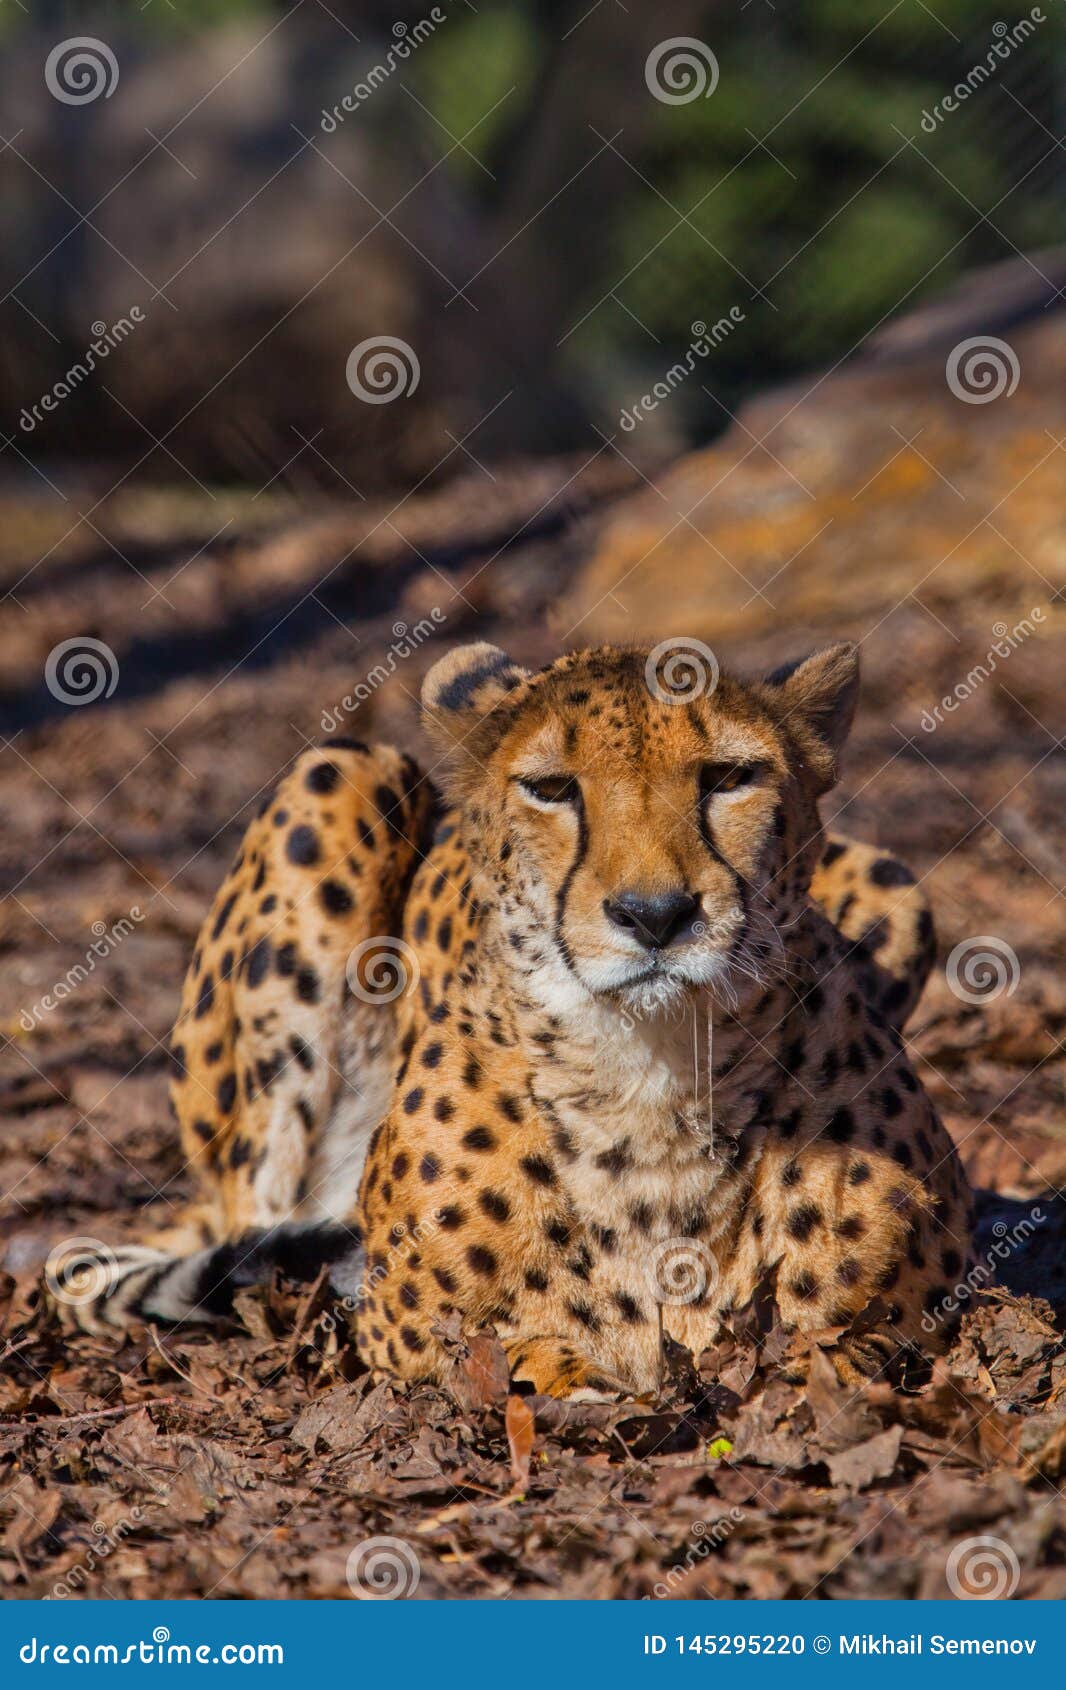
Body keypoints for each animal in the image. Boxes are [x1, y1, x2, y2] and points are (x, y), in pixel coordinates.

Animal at [61, 639, 972, 1397]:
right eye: (553, 789)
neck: (652, 1078)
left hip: (897, 885)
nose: (655, 914)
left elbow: (849, 1344)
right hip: (342, 769)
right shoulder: (398, 1321)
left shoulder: (924, 1311)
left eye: (727, 778)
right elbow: (511, 1349)